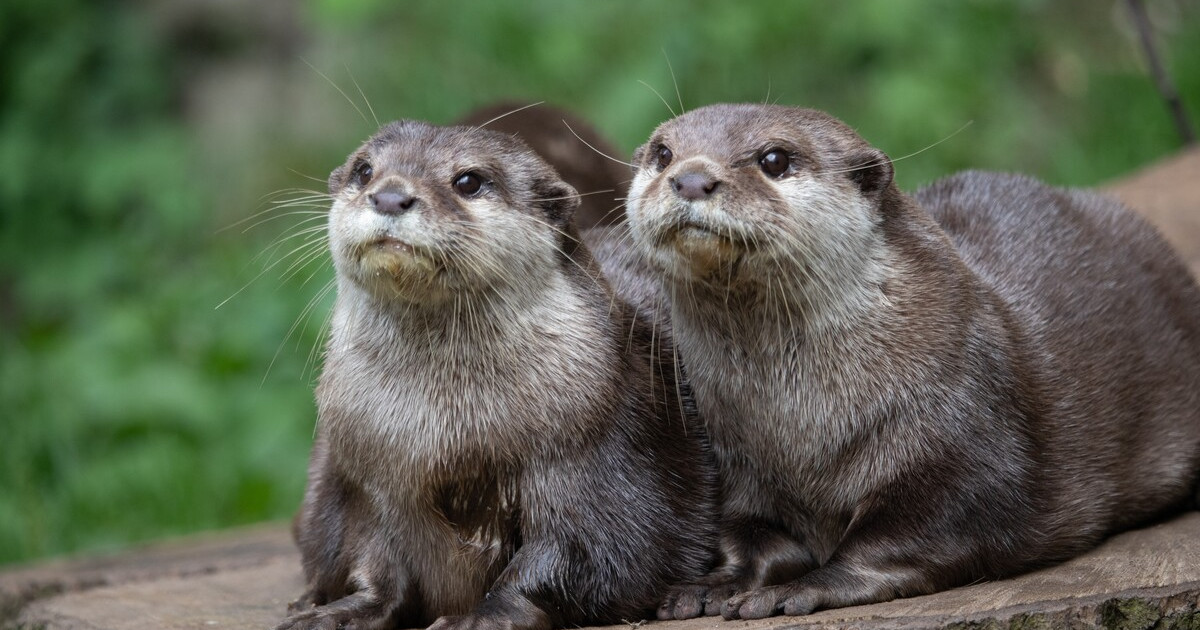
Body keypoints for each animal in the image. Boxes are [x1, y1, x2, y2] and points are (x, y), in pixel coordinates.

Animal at [276, 120, 717, 630]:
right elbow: (373, 561)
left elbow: (594, 551)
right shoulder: (369, 480)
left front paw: (478, 616)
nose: (388, 196)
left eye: (468, 181)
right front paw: (341, 612)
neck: (446, 437)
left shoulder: (598, 447)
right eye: (364, 170)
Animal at [623, 103, 1200, 620]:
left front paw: (808, 586)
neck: (798, 430)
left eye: (774, 159)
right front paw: (714, 585)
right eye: (663, 152)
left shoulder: (967, 437)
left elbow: (916, 532)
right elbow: (748, 533)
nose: (691, 178)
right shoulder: (734, 459)